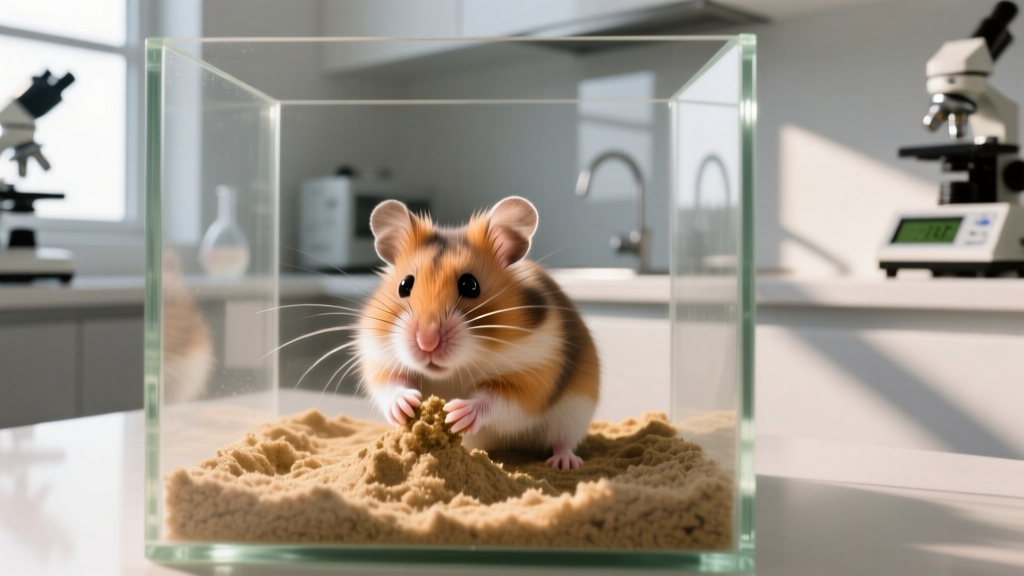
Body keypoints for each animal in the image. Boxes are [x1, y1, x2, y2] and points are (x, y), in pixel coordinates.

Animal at [355, 196, 600, 469]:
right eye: (404, 285)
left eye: (470, 285)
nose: (427, 343)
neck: (457, 369)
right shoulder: (379, 358)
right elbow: (389, 384)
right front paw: (405, 405)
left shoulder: (536, 373)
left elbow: (500, 401)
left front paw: (456, 414)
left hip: (575, 411)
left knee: (563, 439)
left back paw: (564, 463)